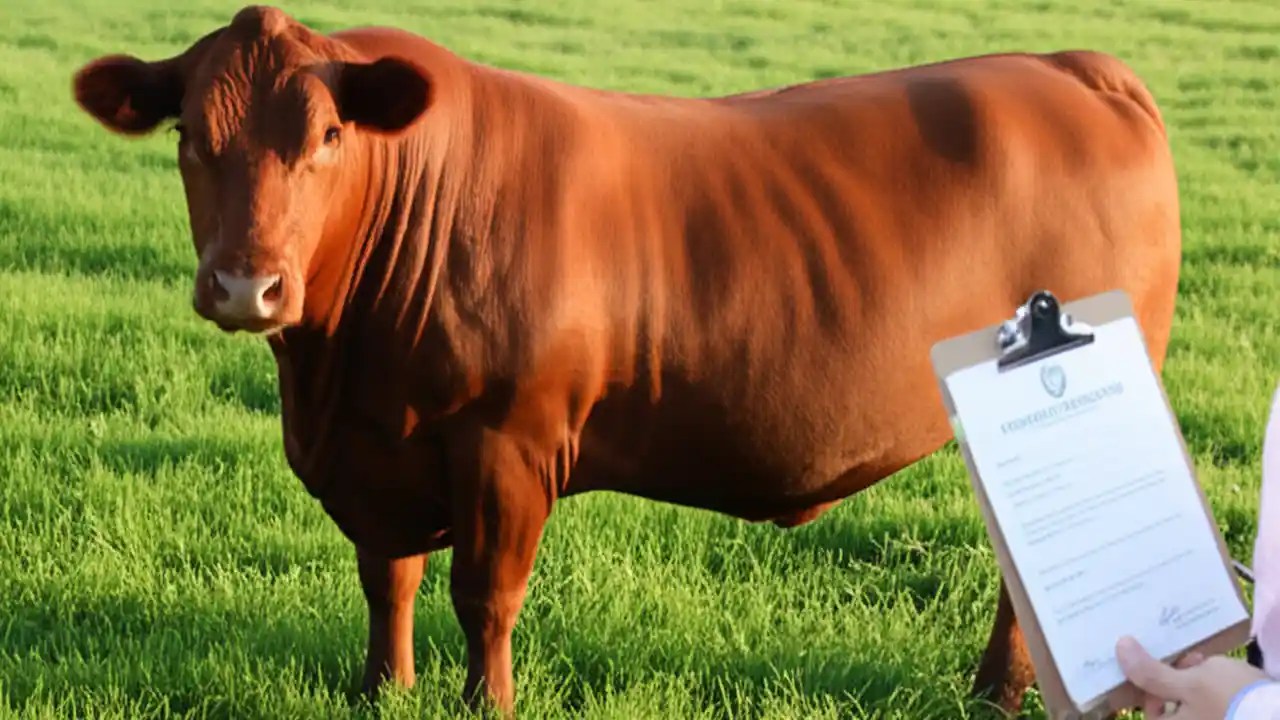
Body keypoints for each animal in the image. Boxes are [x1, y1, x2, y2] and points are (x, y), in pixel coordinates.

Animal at [70, 5, 1182, 716]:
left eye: (331, 135)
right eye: (188, 134)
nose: (243, 286)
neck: (334, 378)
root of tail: (1066, 65)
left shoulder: (506, 440)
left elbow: (484, 593)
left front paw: (487, 705)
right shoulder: (377, 457)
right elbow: (387, 578)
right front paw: (382, 690)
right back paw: (998, 691)